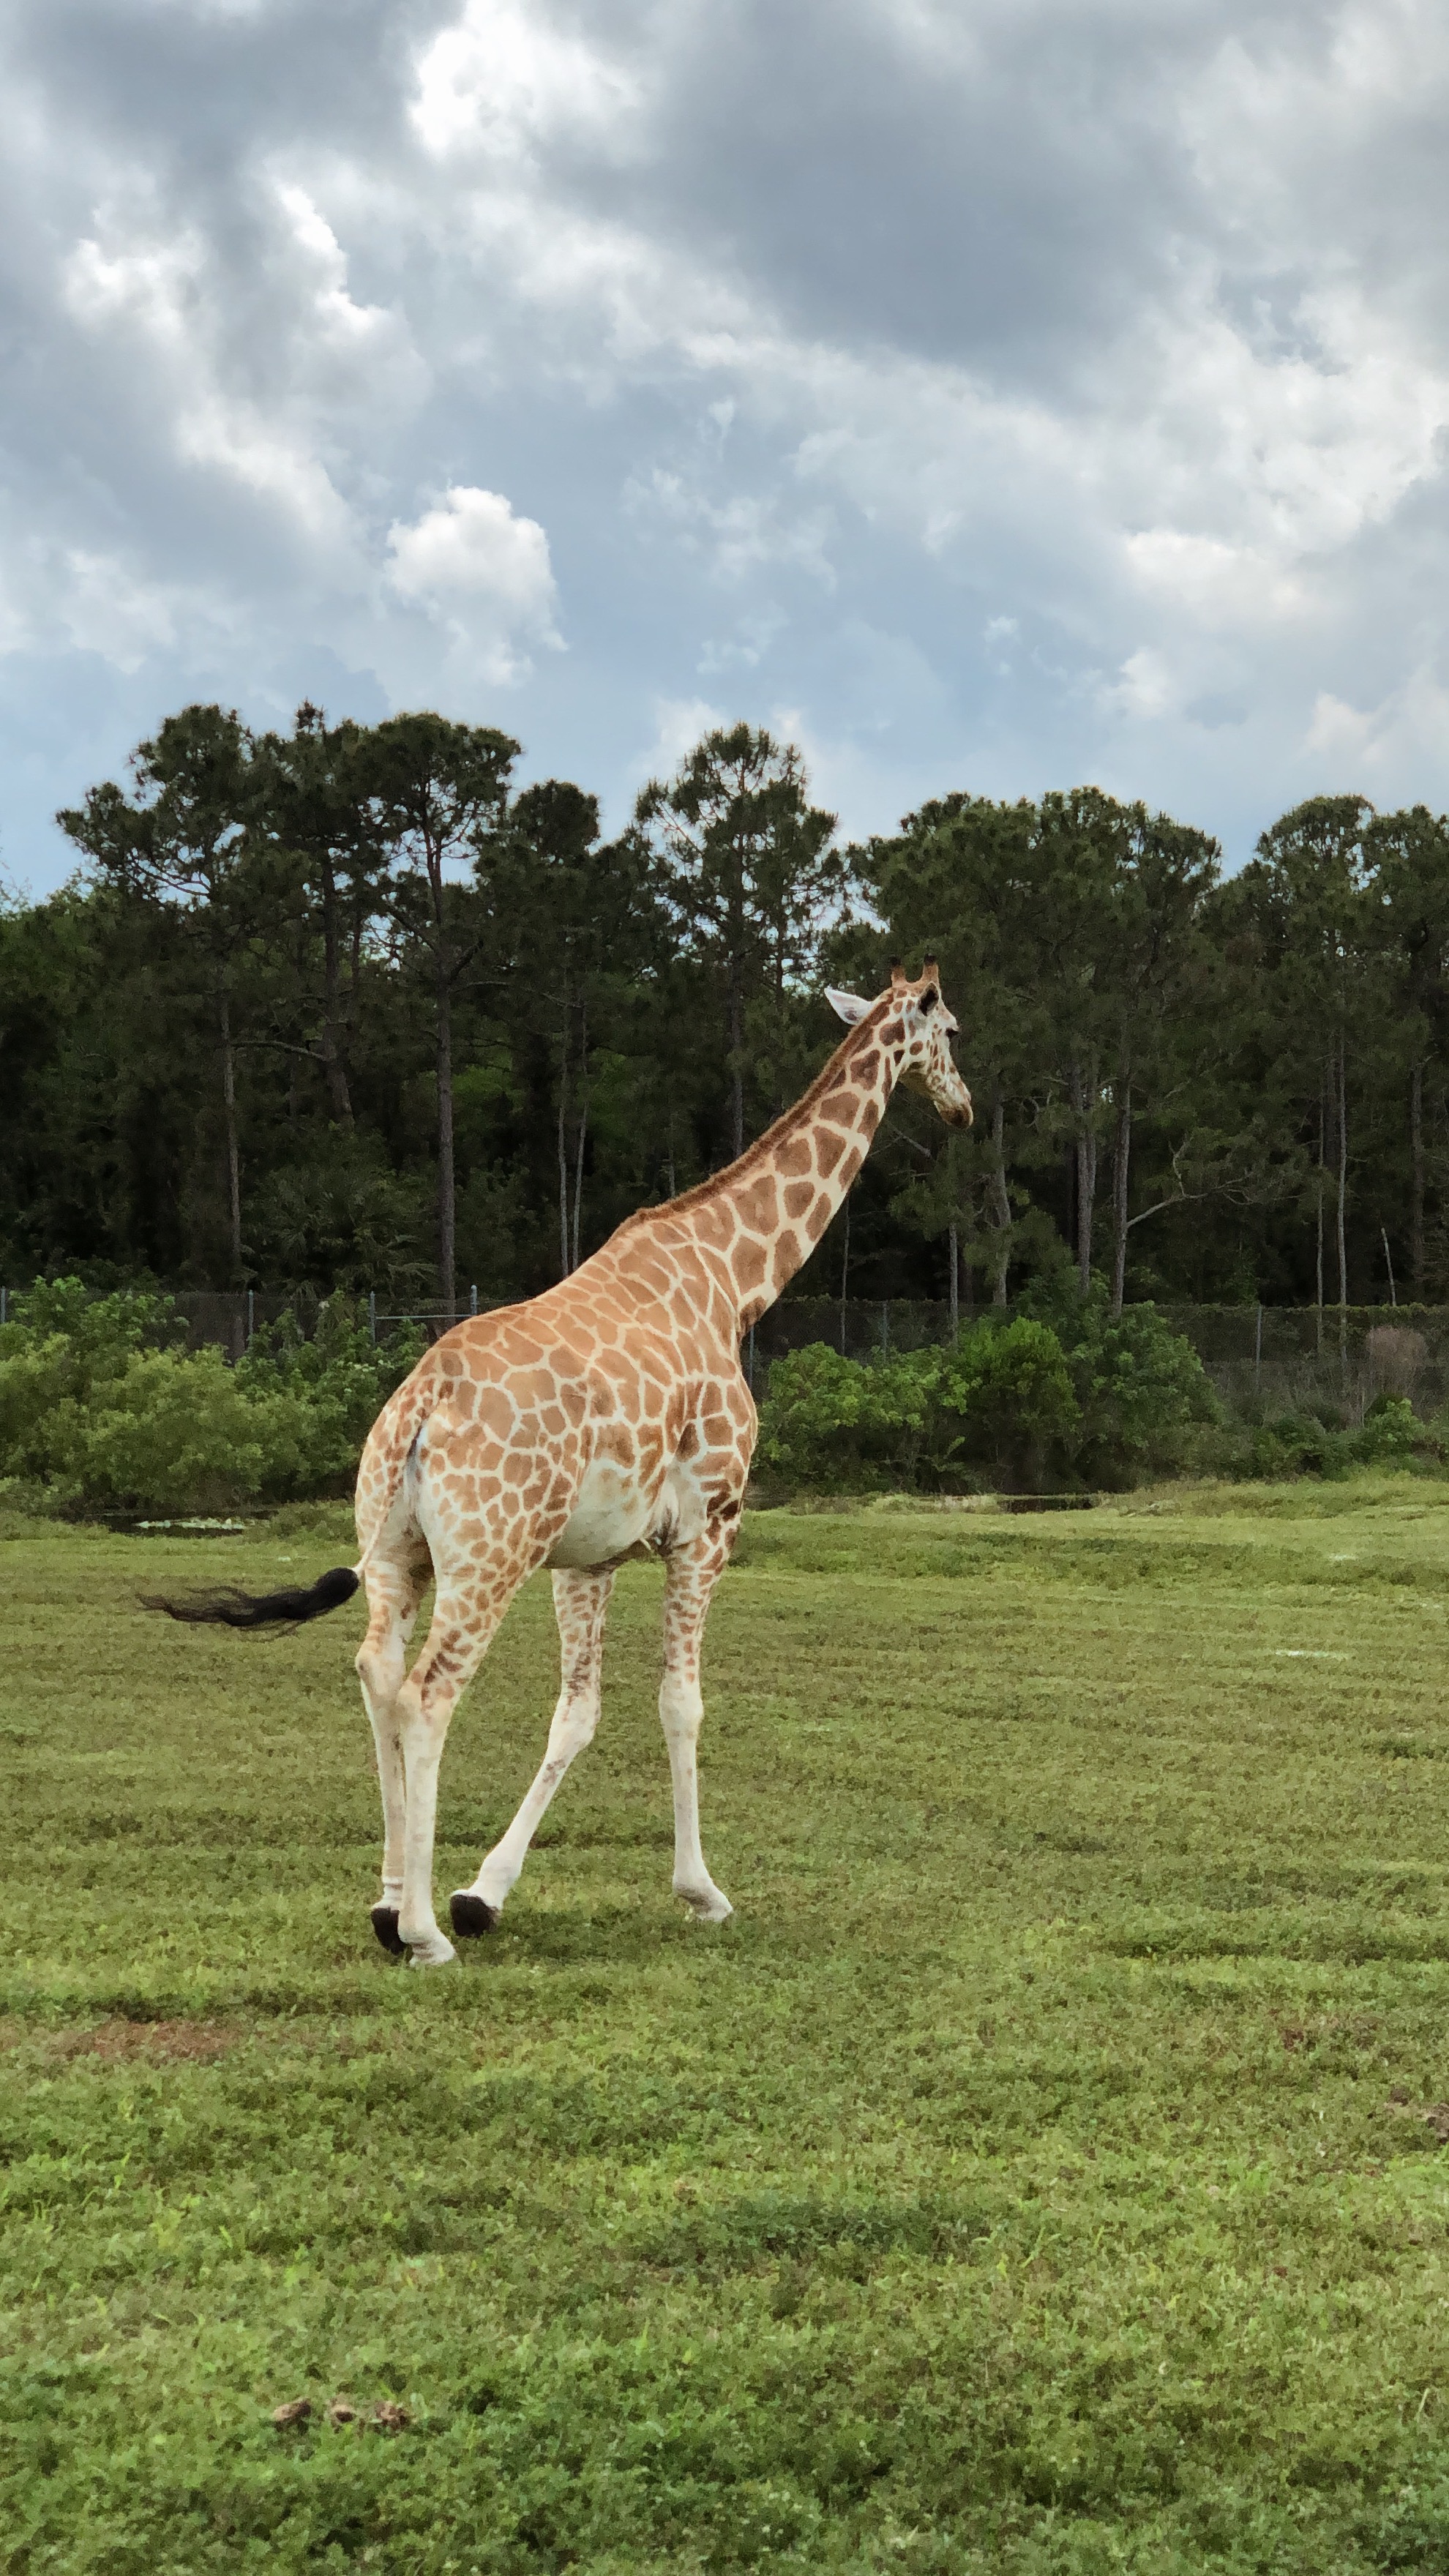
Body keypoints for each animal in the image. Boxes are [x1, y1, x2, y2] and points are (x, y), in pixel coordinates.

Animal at [152, 960, 971, 1965]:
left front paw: (483, 1891)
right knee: (426, 1695)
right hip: (489, 1556)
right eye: (953, 1032)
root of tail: (420, 1408)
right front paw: (700, 1891)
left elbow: (577, 1711)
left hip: (398, 1549)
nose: (964, 1108)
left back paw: (389, 1903)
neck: (735, 1283)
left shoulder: (589, 1555)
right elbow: (680, 1703)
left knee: (377, 1673)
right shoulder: (709, 1525)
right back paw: (423, 1933)